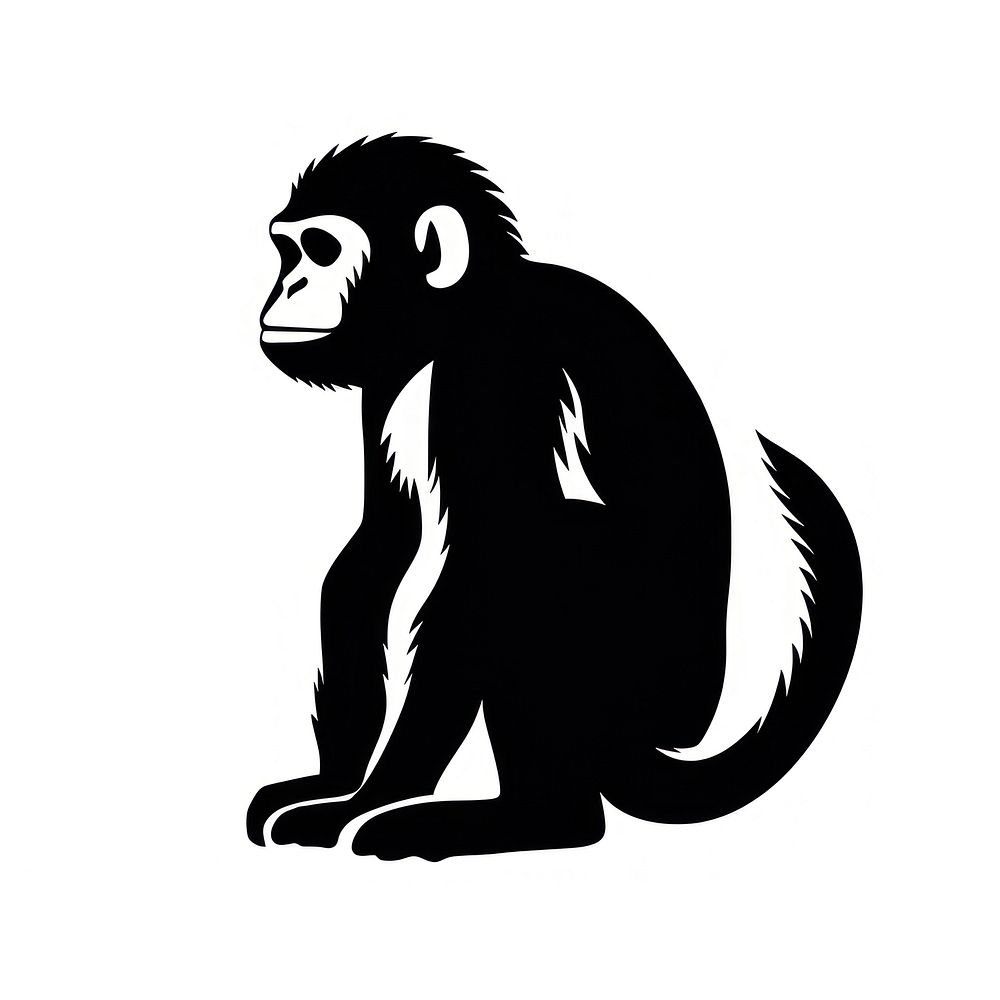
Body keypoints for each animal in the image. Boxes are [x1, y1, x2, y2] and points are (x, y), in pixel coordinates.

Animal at [246, 135, 863, 860]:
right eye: (287, 250)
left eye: (321, 249)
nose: (286, 286)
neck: (460, 308)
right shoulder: (391, 374)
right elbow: (379, 548)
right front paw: (336, 782)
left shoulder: (494, 366)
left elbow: (487, 567)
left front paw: (374, 796)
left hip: (641, 684)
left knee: (554, 549)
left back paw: (530, 817)